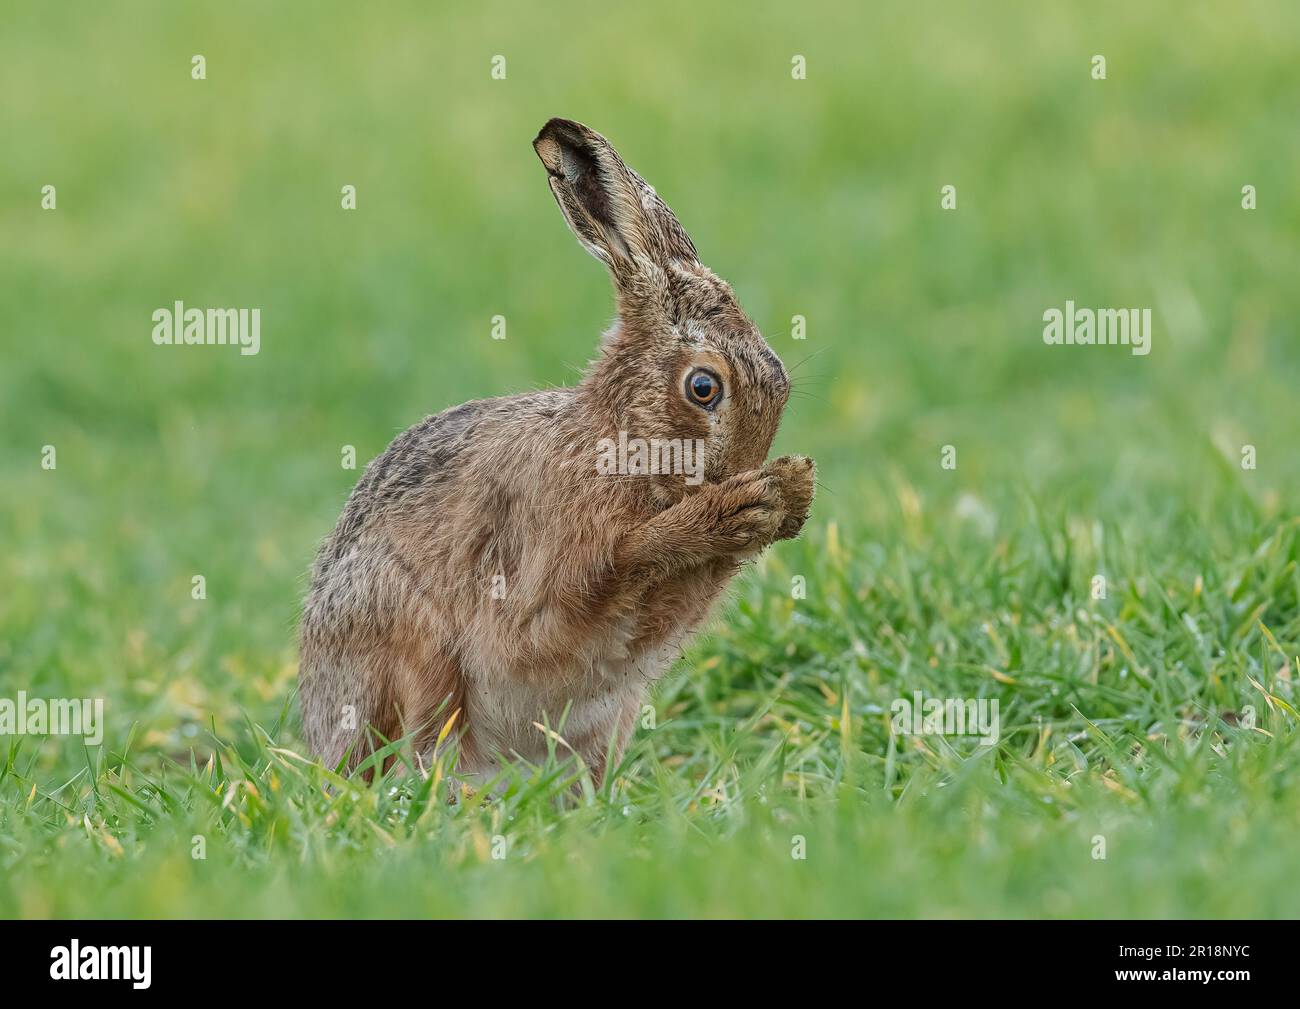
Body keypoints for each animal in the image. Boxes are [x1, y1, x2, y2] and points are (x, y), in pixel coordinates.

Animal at [298, 118, 815, 785]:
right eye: (704, 388)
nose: (738, 474)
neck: (622, 441)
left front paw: (785, 495)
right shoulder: (542, 579)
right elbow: (602, 580)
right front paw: (734, 510)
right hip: (406, 637)